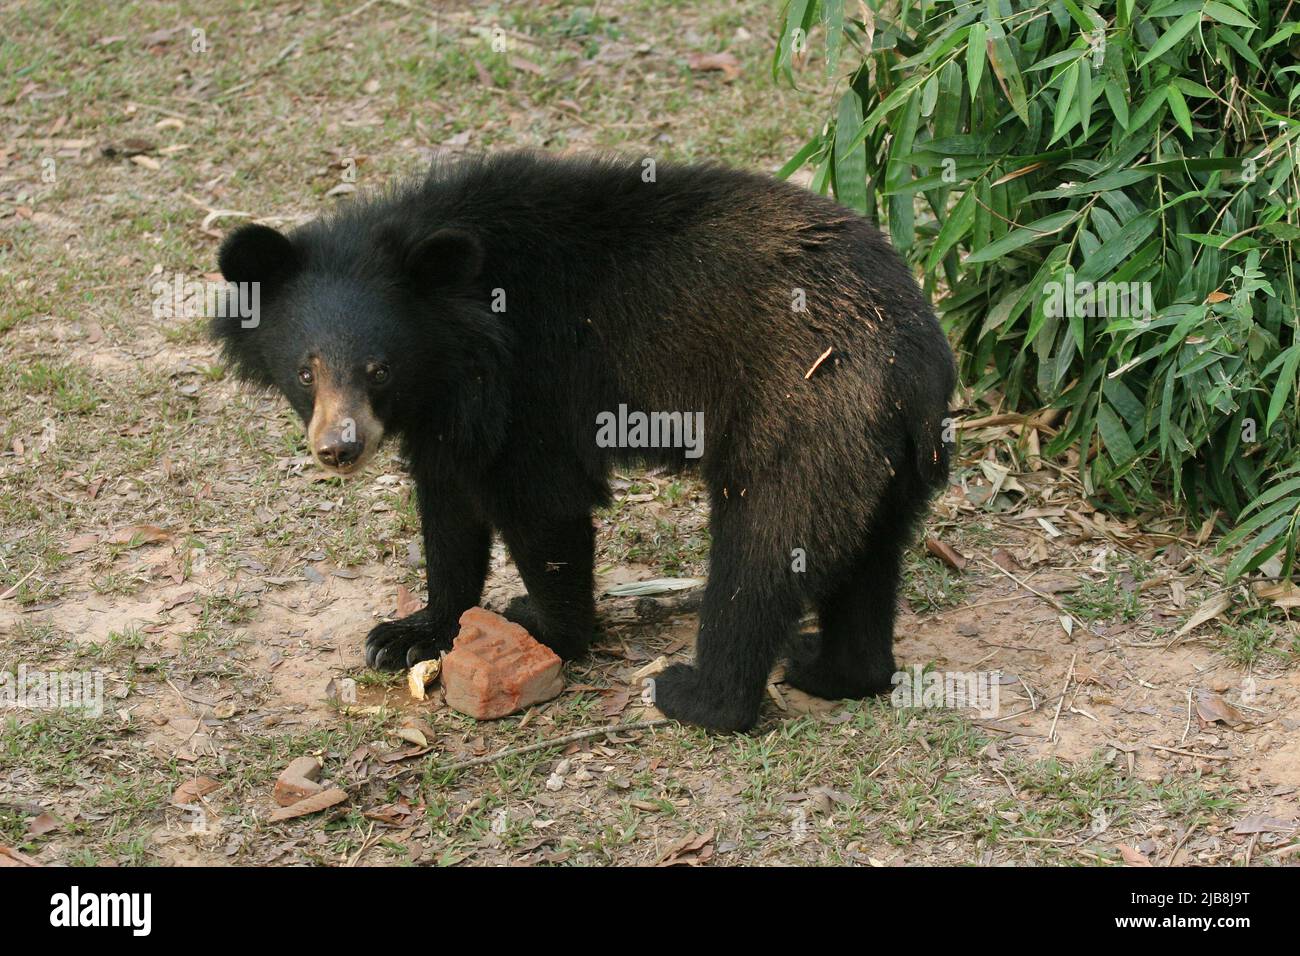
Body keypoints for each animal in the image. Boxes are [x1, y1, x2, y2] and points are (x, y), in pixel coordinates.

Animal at [211, 151, 955, 732]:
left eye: (379, 369)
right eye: (305, 369)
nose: (340, 448)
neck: (460, 337)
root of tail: (915, 351)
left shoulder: (532, 380)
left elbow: (541, 503)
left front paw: (544, 629)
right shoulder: (450, 406)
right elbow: (448, 507)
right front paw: (408, 634)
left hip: (799, 412)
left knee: (763, 547)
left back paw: (698, 696)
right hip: (878, 452)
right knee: (868, 556)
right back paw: (831, 668)